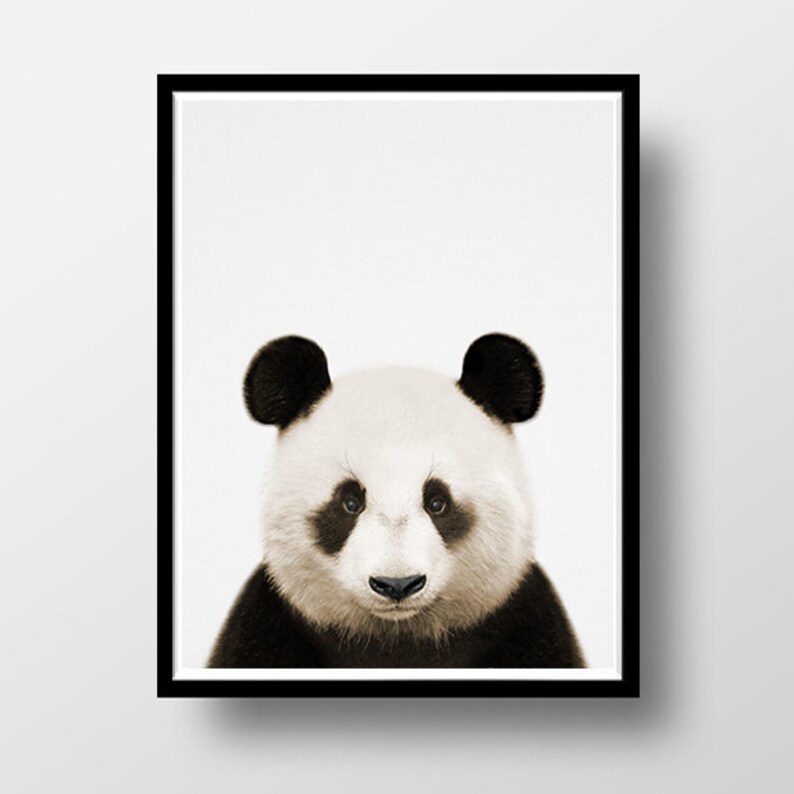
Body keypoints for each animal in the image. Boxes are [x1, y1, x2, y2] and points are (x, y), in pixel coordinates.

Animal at [208, 333, 584, 668]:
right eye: (349, 502)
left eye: (437, 502)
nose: (397, 584)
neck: (396, 639)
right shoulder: (268, 627)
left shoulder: (525, 623)